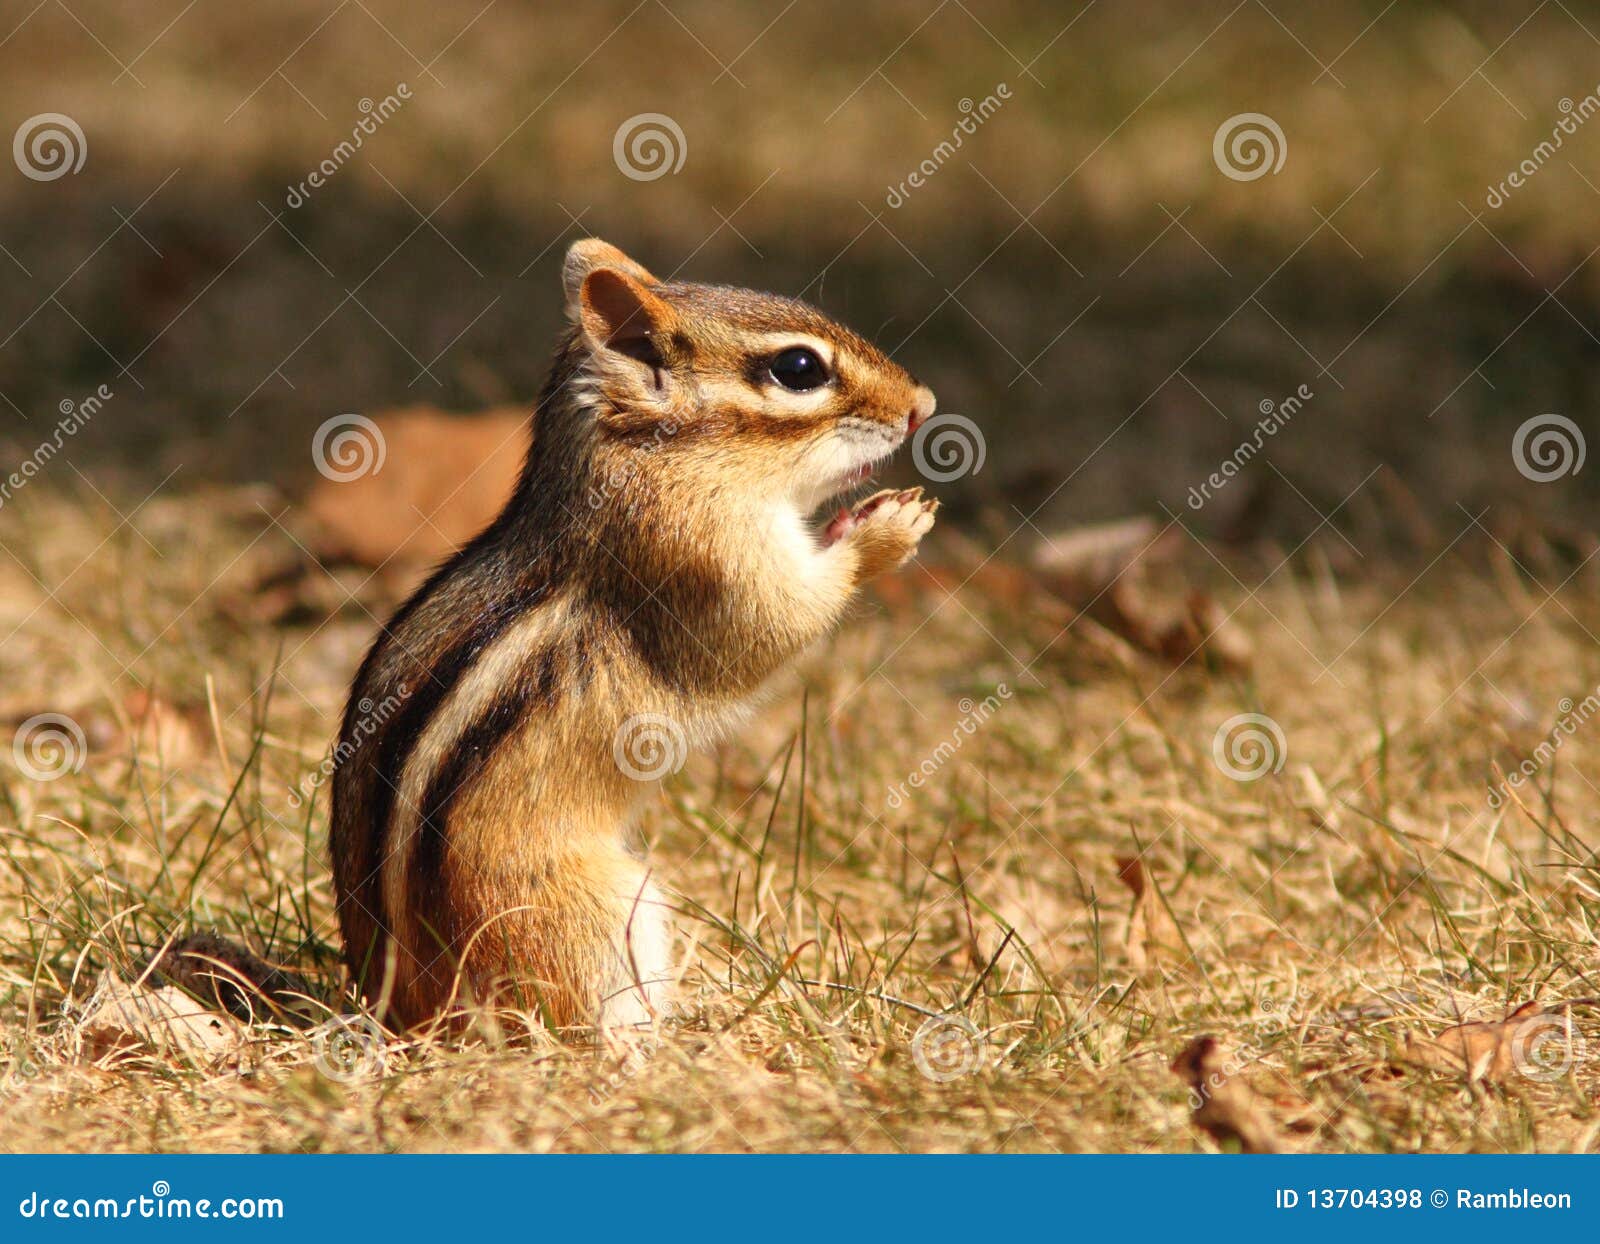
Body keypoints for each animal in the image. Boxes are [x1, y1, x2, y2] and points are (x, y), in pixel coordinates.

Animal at [326, 239, 939, 1031]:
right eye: (799, 368)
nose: (923, 407)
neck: (652, 456)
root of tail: (401, 1011)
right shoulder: (704, 552)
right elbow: (776, 620)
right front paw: (887, 529)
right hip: (600, 912)